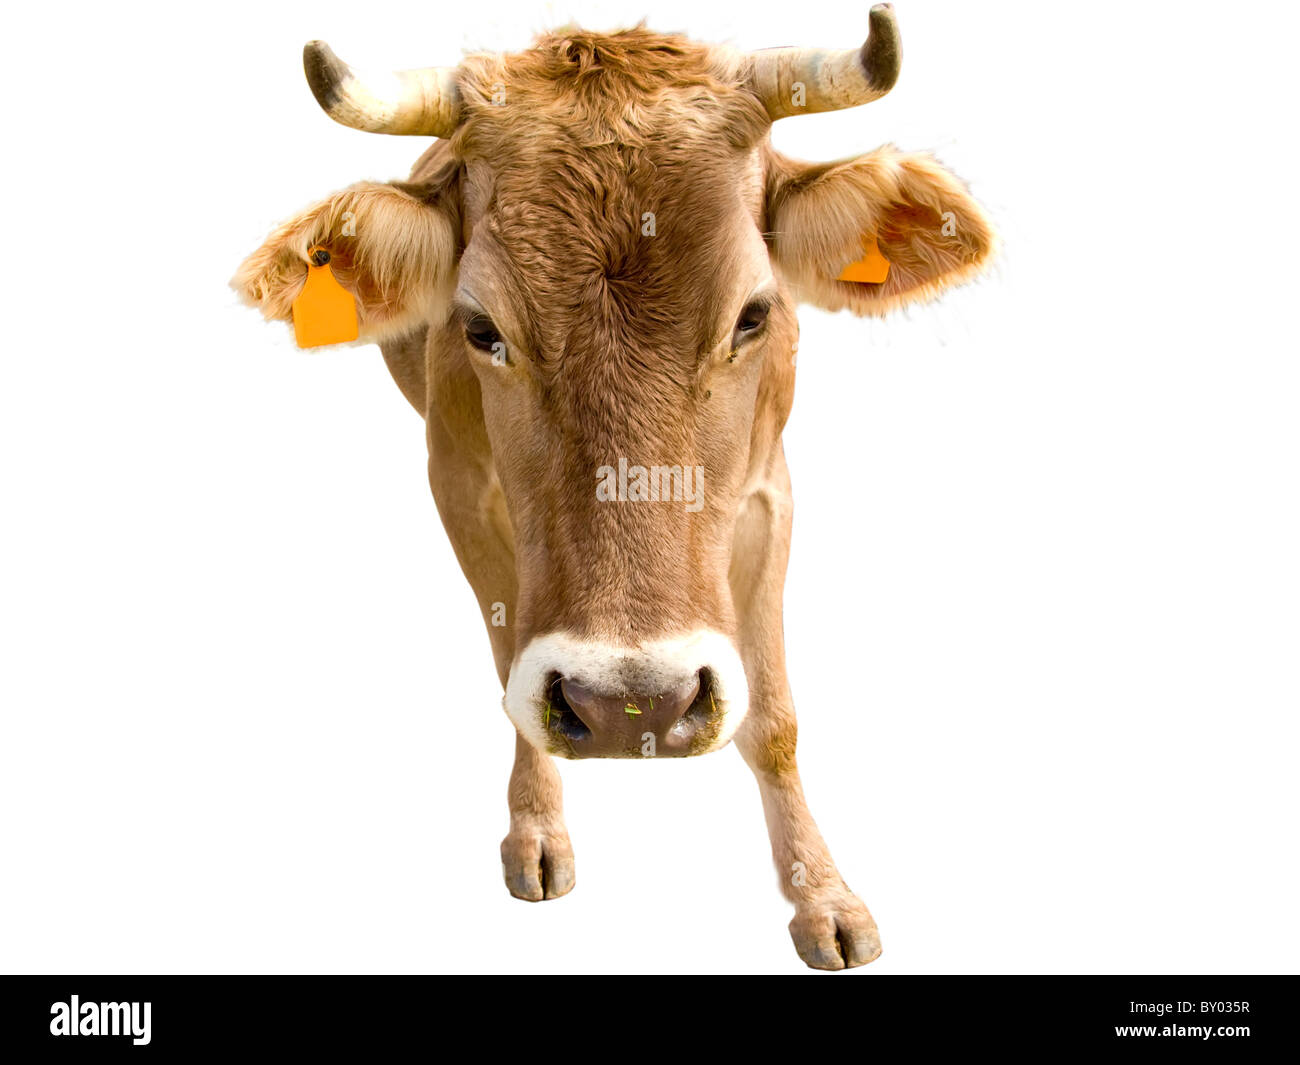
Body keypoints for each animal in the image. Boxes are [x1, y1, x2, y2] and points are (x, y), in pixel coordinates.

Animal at [233, 4, 996, 970]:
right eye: (480, 327)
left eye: (753, 313)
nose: (632, 703)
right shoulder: (457, 487)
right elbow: (508, 663)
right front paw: (537, 831)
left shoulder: (770, 494)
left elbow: (775, 716)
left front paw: (823, 896)